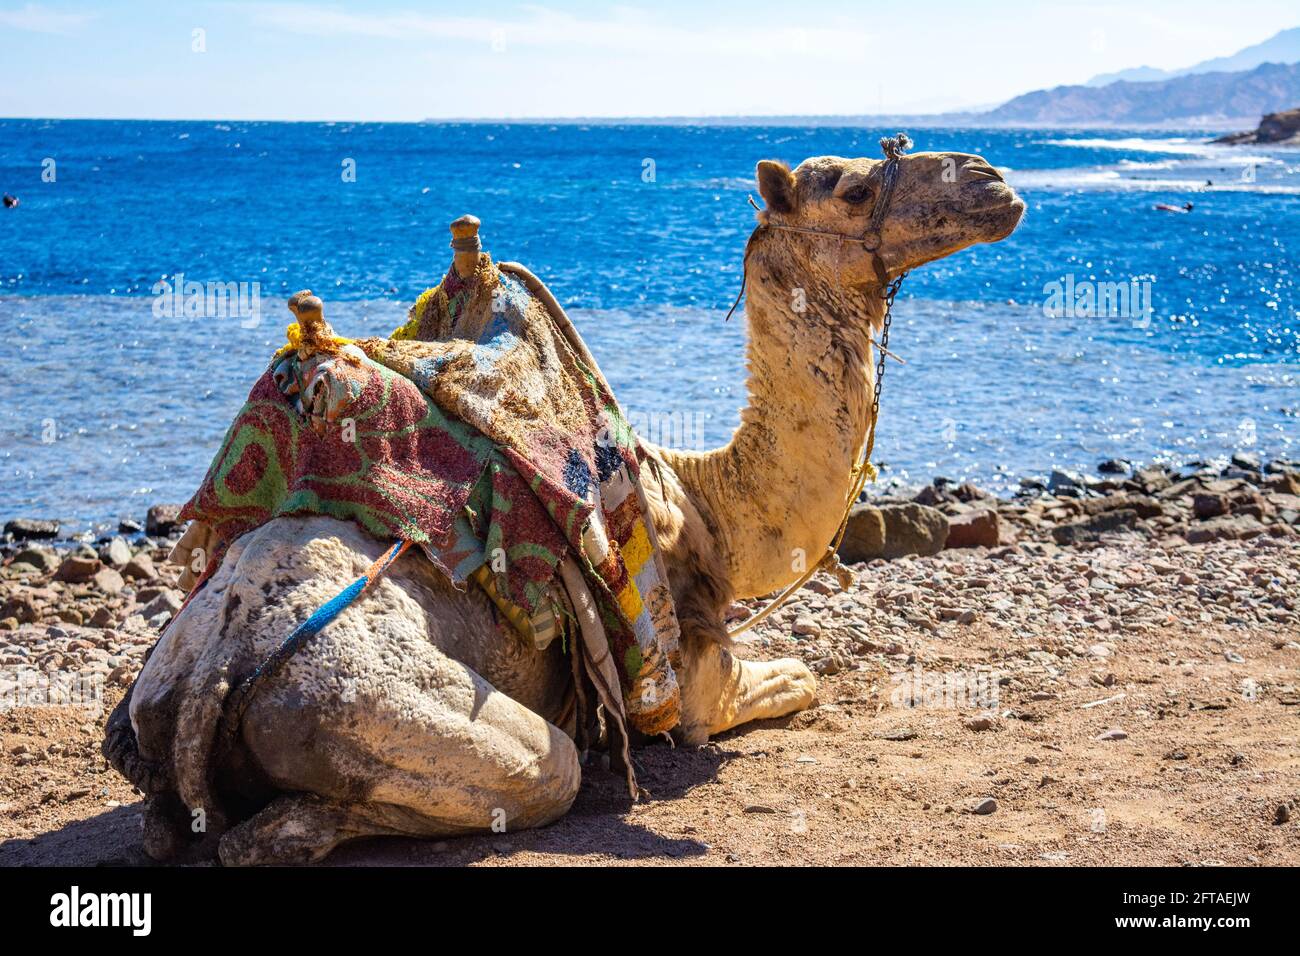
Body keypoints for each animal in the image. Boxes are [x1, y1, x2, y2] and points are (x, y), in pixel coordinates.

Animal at [106, 146, 1024, 865]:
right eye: (857, 188)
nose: (992, 179)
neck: (706, 503)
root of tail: (213, 674)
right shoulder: (698, 677)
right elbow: (795, 678)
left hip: (163, 698)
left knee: (165, 823)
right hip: (365, 711)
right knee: (528, 774)